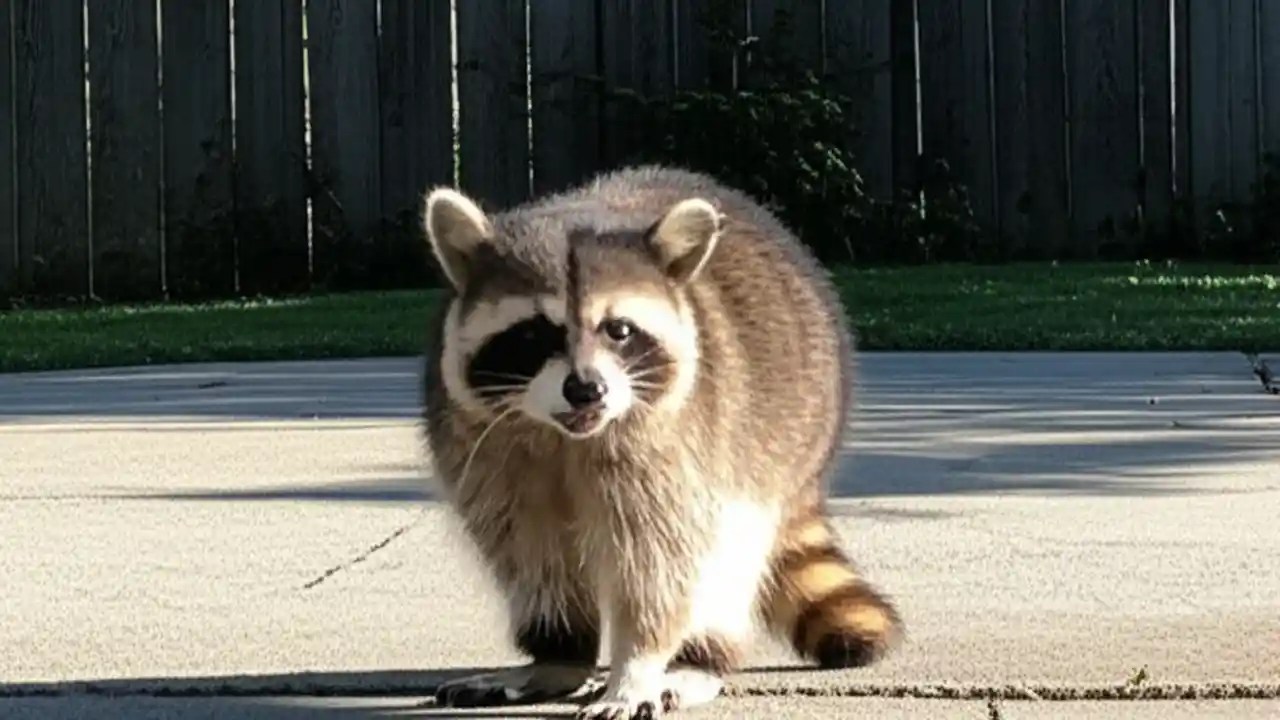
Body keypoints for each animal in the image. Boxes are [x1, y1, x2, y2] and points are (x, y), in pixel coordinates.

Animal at [421, 166, 901, 719]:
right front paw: (559, 649)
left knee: (728, 555)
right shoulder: (485, 450)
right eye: (534, 333)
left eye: (619, 330)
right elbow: (531, 551)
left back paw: (700, 659)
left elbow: (657, 565)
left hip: (783, 443)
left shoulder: (677, 449)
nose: (585, 389)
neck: (565, 437)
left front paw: (637, 667)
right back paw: (559, 659)